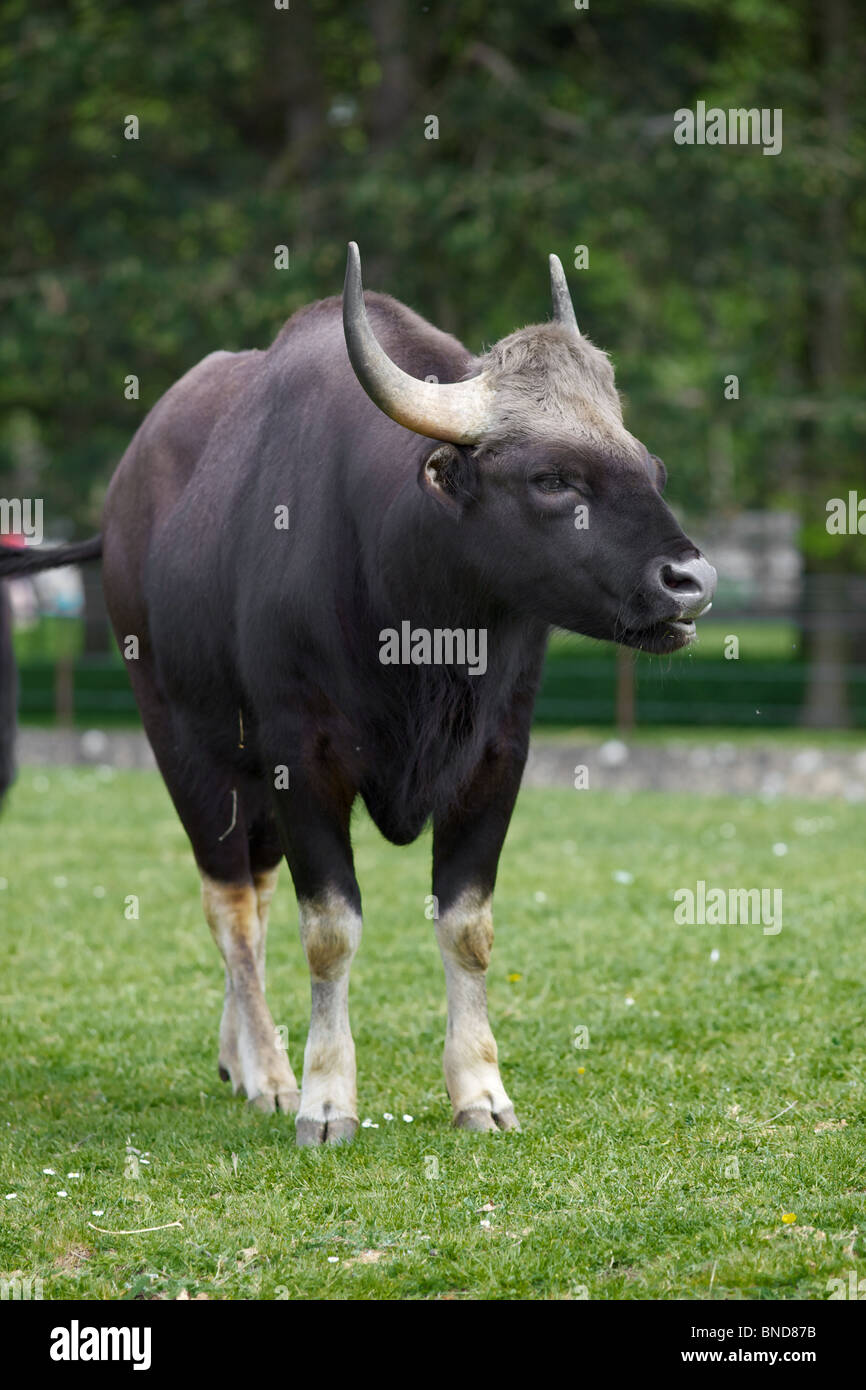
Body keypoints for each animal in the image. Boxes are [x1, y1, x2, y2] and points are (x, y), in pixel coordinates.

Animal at [0, 246, 716, 1143]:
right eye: (553, 477)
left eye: (651, 468)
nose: (691, 580)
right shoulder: (300, 760)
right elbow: (330, 931)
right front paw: (324, 1098)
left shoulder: (498, 755)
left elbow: (467, 924)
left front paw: (481, 1091)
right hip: (184, 746)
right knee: (230, 905)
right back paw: (271, 1073)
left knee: (258, 893)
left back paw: (242, 1058)